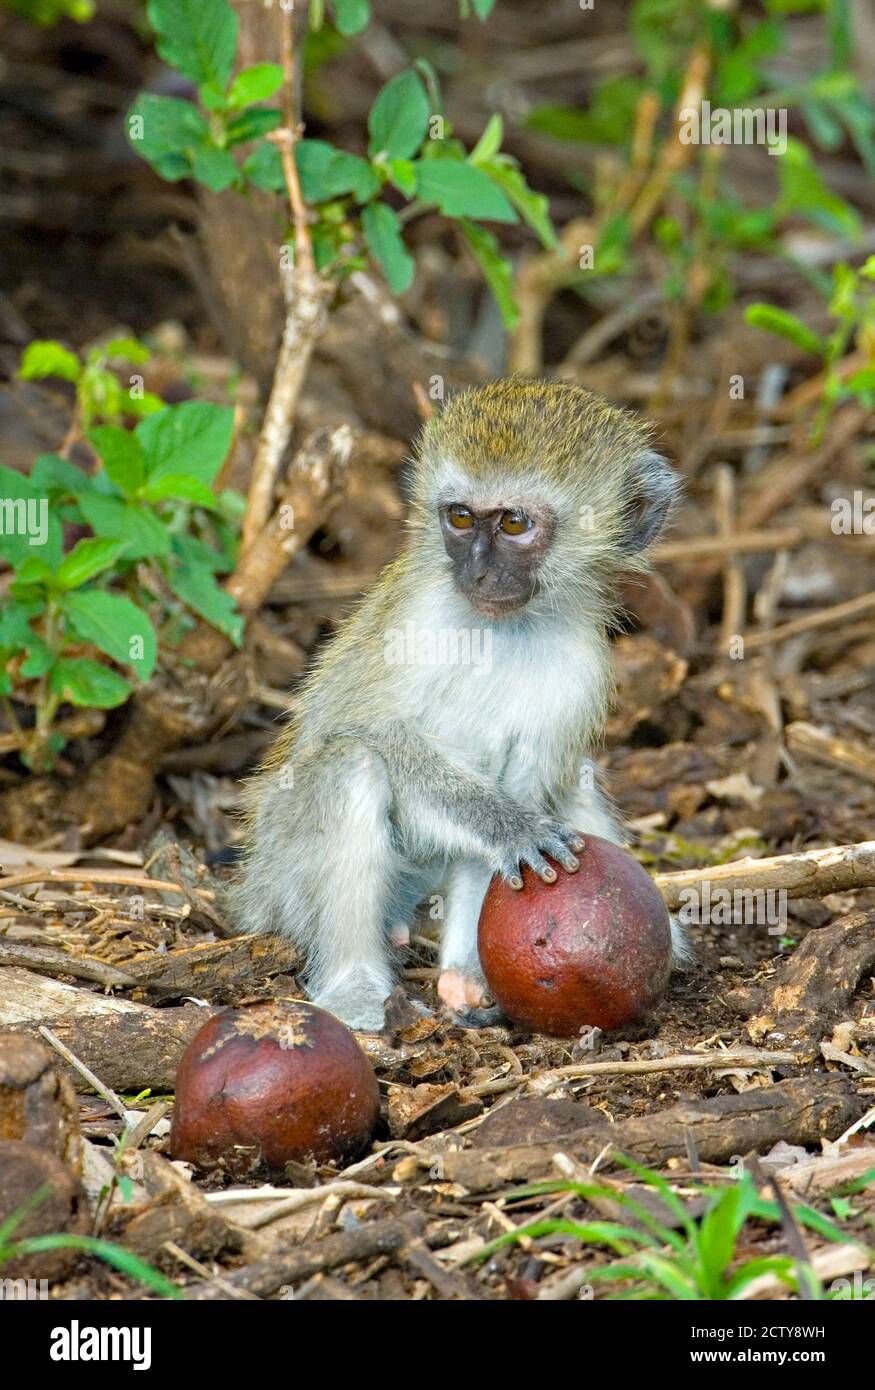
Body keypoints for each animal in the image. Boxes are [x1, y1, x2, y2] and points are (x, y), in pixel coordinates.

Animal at [232, 379, 688, 1031]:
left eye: (515, 523)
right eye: (462, 517)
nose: (476, 572)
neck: (504, 627)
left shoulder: (581, 669)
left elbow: (522, 801)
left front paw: (468, 976)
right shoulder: (414, 615)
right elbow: (369, 728)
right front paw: (510, 826)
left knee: (569, 780)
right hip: (277, 875)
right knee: (351, 765)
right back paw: (354, 984)